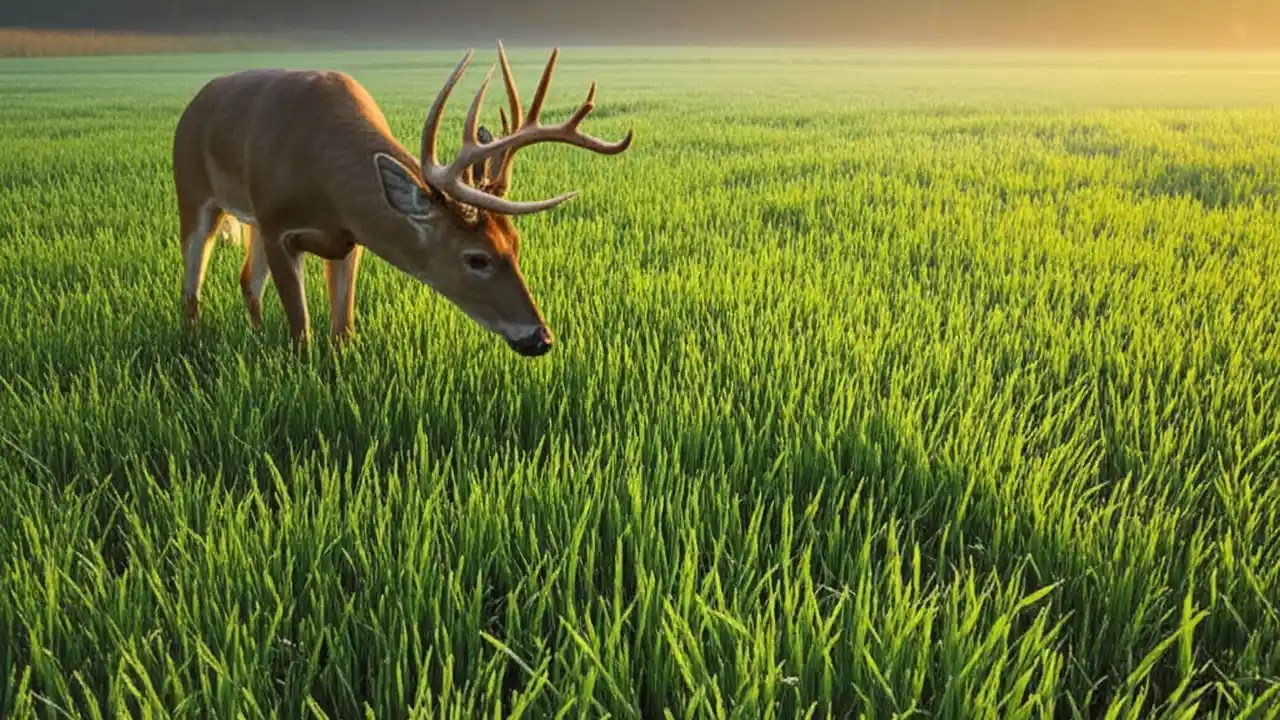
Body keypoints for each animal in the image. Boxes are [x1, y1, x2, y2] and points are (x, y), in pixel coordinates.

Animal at [171, 42, 632, 356]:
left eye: (516, 245)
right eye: (476, 258)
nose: (541, 338)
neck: (325, 176)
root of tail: (197, 99)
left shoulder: (347, 239)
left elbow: (343, 331)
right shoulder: (278, 225)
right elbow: (302, 333)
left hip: (250, 221)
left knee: (247, 279)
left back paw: (254, 335)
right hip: (192, 192)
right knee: (192, 287)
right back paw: (195, 346)